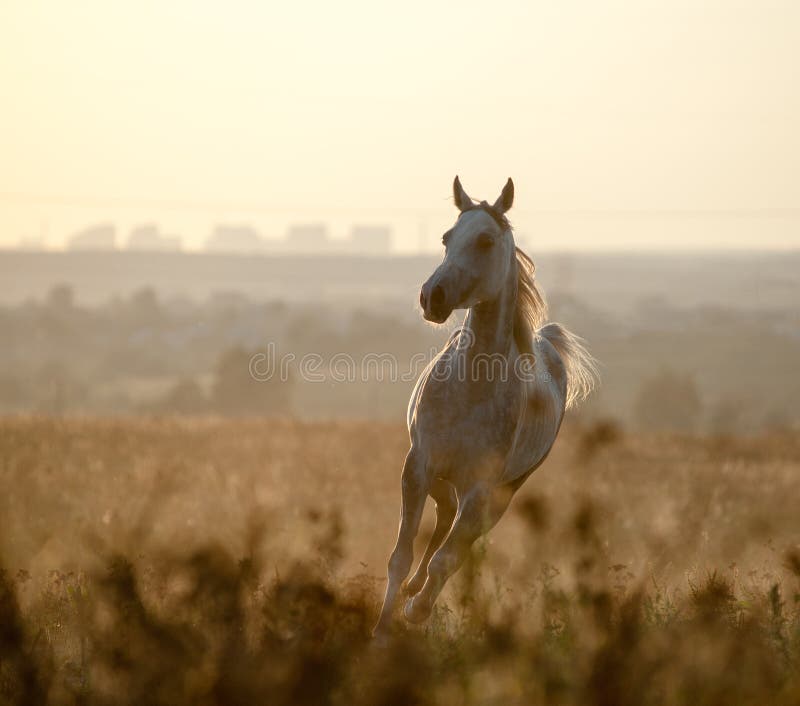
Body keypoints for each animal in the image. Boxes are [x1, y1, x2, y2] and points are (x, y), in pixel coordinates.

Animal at [373, 176, 598, 635]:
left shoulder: (480, 489)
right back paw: (412, 589)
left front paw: (415, 611)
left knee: (457, 543)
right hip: (442, 480)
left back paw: (418, 597)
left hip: (500, 495)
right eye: (446, 238)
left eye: (485, 240)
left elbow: (447, 560)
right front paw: (383, 629)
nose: (433, 297)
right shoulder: (418, 466)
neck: (471, 390)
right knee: (443, 516)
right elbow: (400, 556)